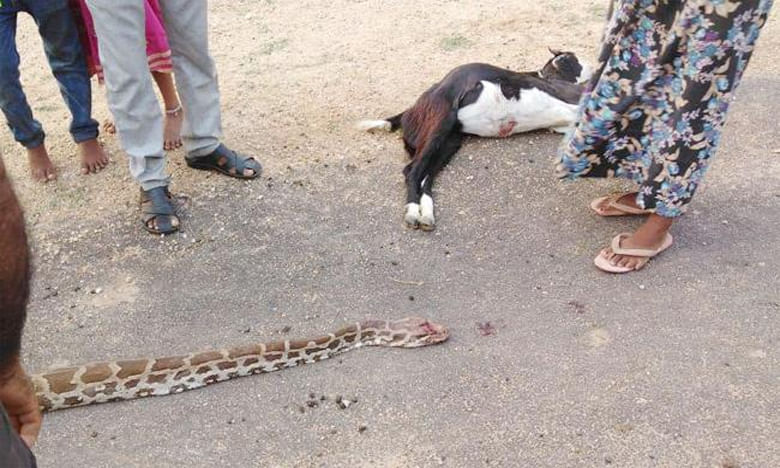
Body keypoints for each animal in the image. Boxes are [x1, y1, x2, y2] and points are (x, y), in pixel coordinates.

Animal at [359, 50, 590, 230]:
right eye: (575, 59)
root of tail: (410, 110)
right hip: (441, 124)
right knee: (412, 171)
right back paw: (414, 213)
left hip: (448, 144)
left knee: (425, 177)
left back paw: (427, 215)